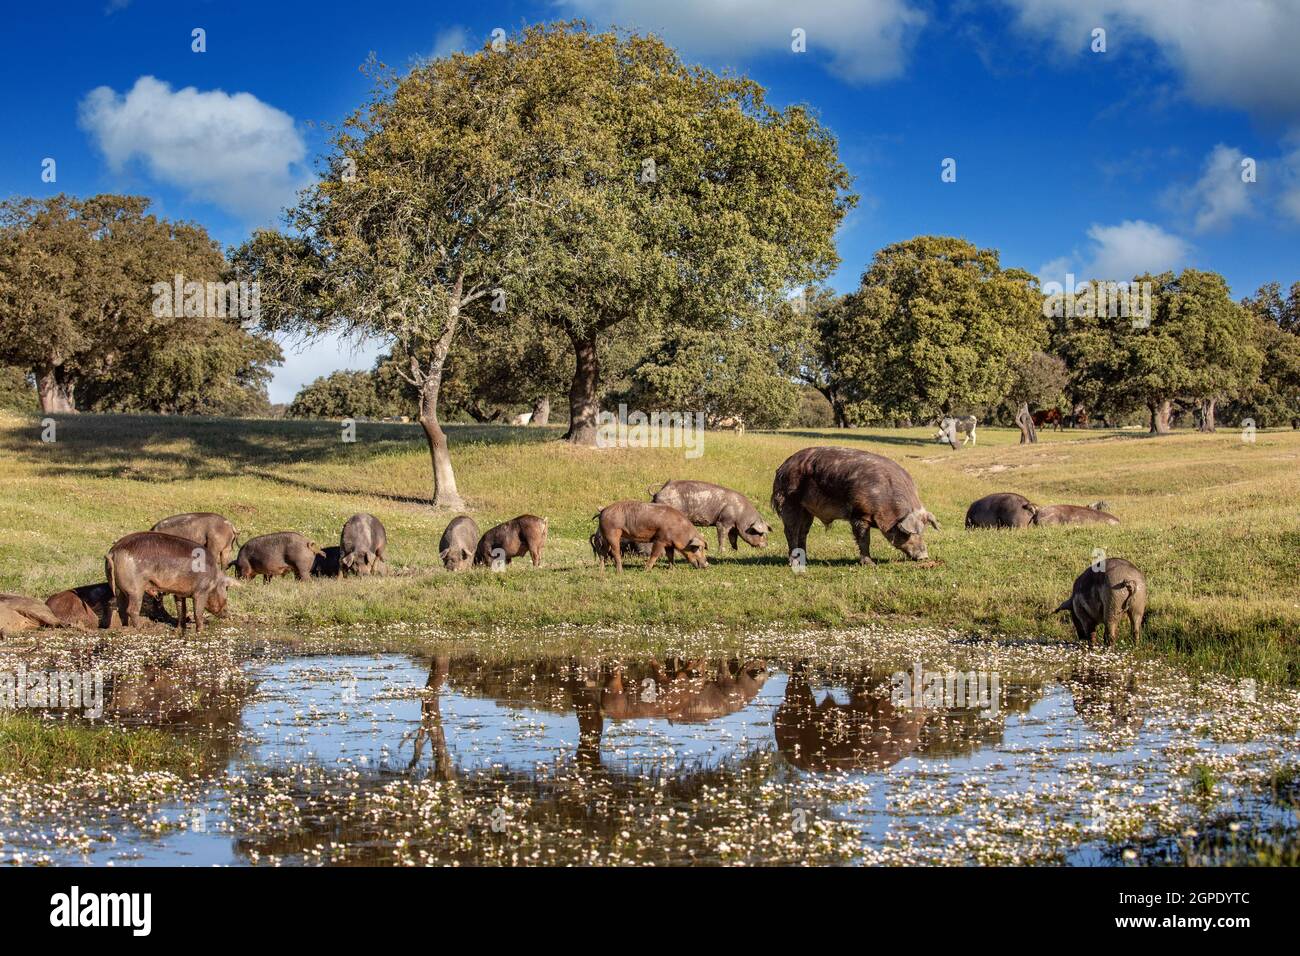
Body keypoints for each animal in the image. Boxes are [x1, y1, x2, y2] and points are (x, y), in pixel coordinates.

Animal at [106, 532, 239, 633]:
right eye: (226, 593)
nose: (229, 615)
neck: (214, 580)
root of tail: (113, 551)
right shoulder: (201, 591)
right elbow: (198, 612)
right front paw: (201, 631)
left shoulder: (179, 593)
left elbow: (181, 610)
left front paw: (179, 629)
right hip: (135, 588)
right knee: (131, 610)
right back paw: (142, 628)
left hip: (119, 588)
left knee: (121, 608)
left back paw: (125, 627)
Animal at [771, 447, 939, 565]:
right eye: (906, 533)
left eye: (922, 532)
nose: (924, 556)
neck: (885, 501)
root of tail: (781, 467)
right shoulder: (860, 514)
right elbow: (864, 539)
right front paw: (870, 564)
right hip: (789, 500)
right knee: (790, 531)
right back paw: (795, 562)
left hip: (807, 510)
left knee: (803, 532)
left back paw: (806, 559)